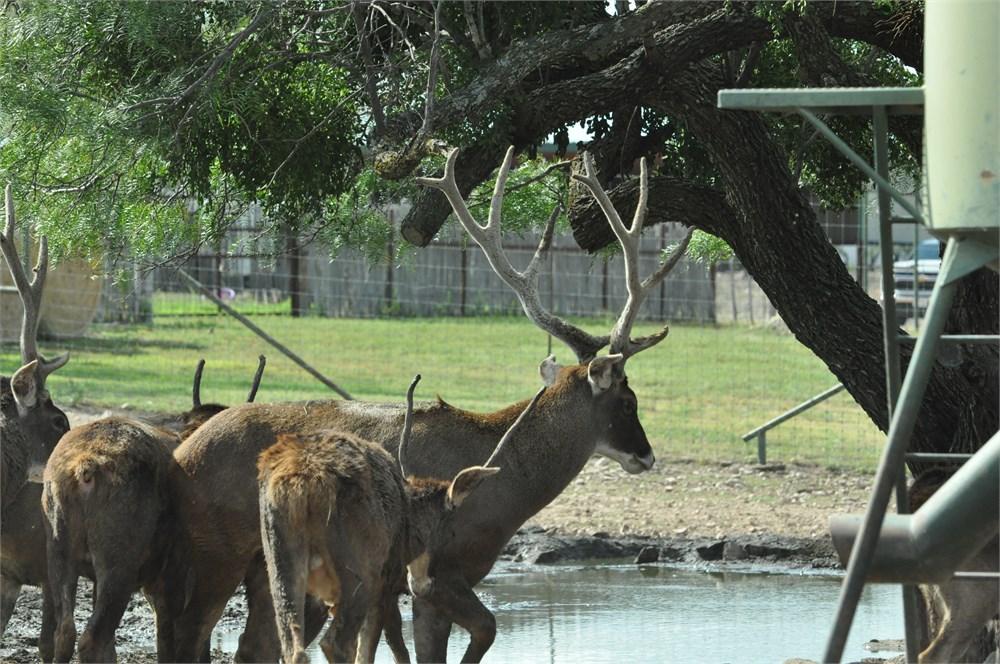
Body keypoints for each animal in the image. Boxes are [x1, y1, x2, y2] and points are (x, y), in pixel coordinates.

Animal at [258, 375, 542, 663]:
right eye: (447, 524)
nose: (423, 585)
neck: (408, 510)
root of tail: (302, 479)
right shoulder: (385, 588)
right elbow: (372, 650)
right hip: (361, 579)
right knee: (334, 643)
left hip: (283, 571)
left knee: (293, 647)